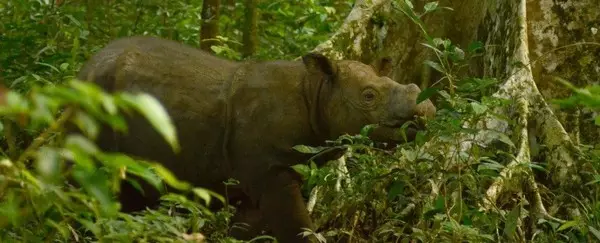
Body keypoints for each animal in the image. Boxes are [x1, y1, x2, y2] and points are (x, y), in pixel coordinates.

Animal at [77, 35, 436, 241]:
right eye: (369, 96)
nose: (427, 110)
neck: (317, 90)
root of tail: (86, 67)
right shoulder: (271, 168)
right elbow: (298, 229)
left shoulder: (269, 171)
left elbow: (247, 230)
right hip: (94, 96)